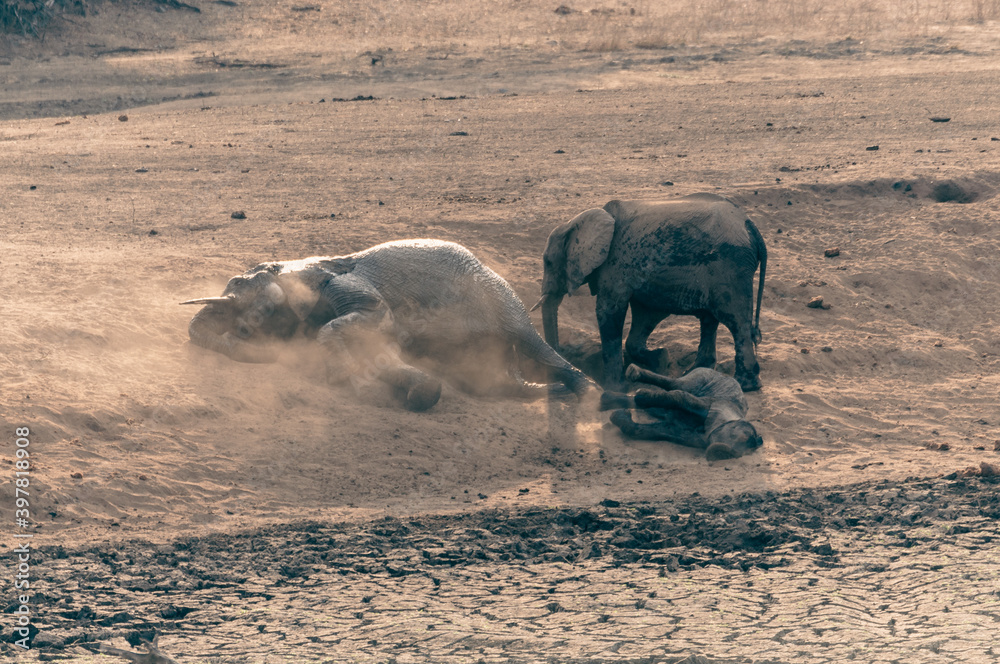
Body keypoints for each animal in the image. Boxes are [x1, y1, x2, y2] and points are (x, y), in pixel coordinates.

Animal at [182, 239, 593, 411]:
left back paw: (588, 394)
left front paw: (338, 374)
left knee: (532, 342)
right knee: (496, 383)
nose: (241, 334)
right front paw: (416, 392)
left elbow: (377, 317)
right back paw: (555, 393)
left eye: (260, 309)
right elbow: (382, 352)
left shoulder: (349, 286)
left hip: (499, 296)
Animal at [534, 193, 767, 392]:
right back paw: (694, 372)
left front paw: (614, 388)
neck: (577, 221)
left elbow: (610, 312)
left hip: (731, 267)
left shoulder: (615, 264)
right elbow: (646, 314)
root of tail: (750, 224)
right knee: (709, 320)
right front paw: (661, 359)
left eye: (548, 262)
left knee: (736, 321)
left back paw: (746, 385)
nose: (562, 354)